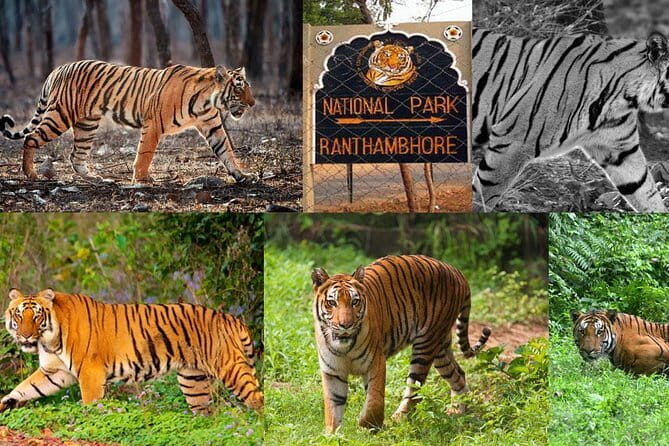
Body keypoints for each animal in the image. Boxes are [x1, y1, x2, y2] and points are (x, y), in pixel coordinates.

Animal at [0, 60, 256, 184]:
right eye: (238, 89)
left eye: (248, 87)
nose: (253, 103)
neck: (207, 101)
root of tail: (58, 69)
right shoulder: (153, 124)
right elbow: (145, 153)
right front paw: (142, 179)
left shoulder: (213, 126)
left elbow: (226, 151)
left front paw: (241, 176)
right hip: (60, 115)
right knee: (31, 138)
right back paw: (30, 174)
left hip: (86, 124)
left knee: (76, 155)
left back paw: (94, 178)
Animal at [0, 288, 263, 413]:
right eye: (19, 315)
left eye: (36, 316)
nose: (25, 335)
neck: (50, 340)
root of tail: (232, 319)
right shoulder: (55, 372)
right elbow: (26, 388)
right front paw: (6, 403)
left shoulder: (90, 372)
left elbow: (90, 404)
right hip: (193, 380)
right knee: (205, 411)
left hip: (230, 368)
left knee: (257, 398)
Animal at [311, 255, 491, 432]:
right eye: (332, 303)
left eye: (355, 302)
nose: (345, 325)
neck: (344, 346)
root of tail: (456, 271)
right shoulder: (332, 371)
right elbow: (333, 405)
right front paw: (332, 434)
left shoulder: (376, 363)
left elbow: (375, 398)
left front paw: (368, 425)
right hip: (441, 348)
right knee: (458, 374)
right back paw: (459, 411)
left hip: (426, 344)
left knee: (415, 389)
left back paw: (398, 418)